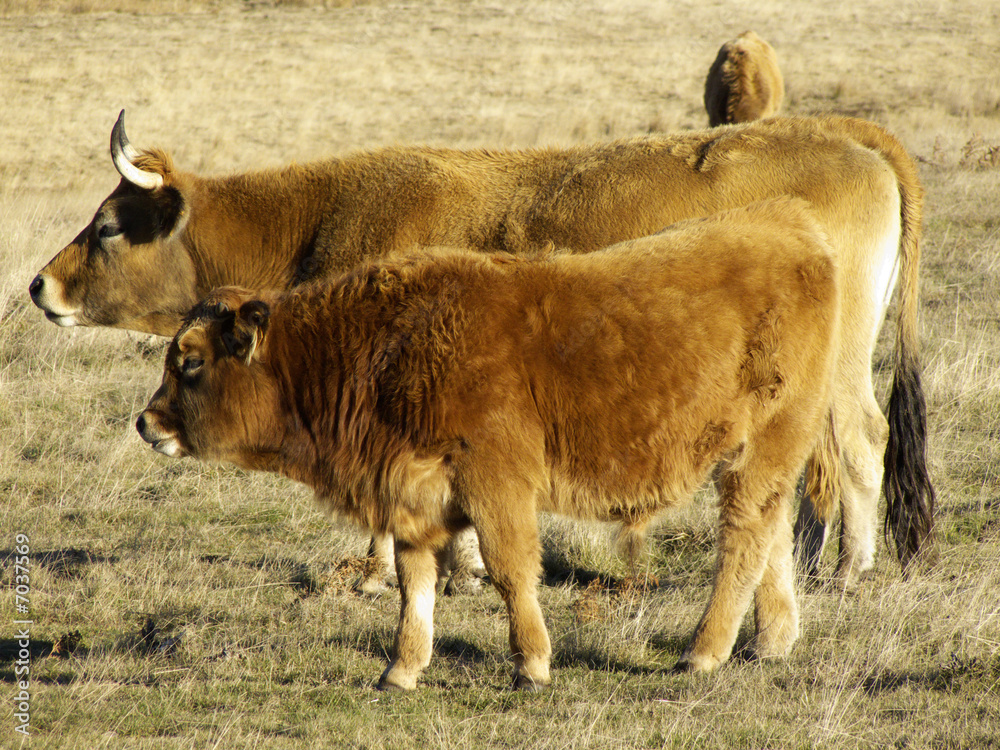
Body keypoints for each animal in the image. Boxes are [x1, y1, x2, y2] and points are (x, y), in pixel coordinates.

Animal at [30, 111, 934, 590]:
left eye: (107, 226)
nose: (40, 286)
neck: (327, 217)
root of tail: (849, 136)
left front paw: (379, 574)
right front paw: (465, 567)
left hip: (841, 367)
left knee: (861, 440)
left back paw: (850, 570)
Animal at [137, 199, 842, 689]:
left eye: (190, 360)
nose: (147, 423)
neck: (380, 346)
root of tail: (793, 225)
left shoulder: (496, 484)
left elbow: (509, 570)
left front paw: (531, 662)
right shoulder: (414, 496)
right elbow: (414, 583)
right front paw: (402, 669)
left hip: (761, 450)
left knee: (745, 538)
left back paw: (703, 653)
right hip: (759, 458)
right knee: (770, 534)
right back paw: (771, 642)